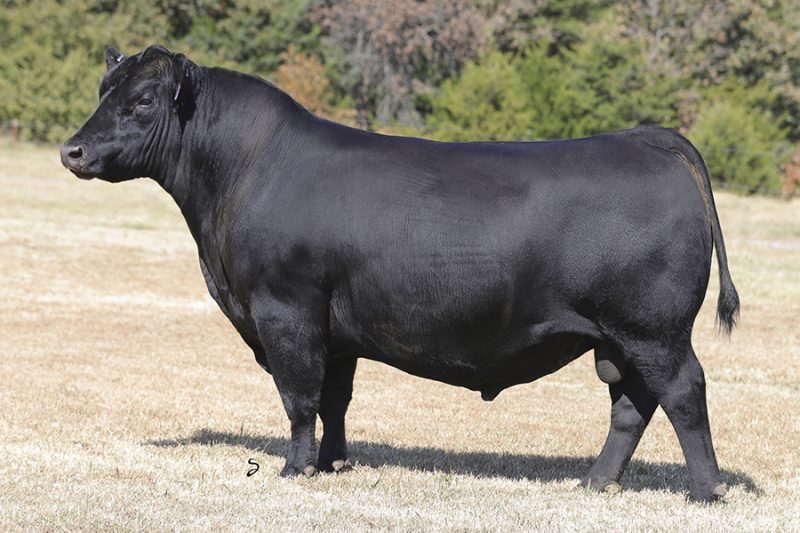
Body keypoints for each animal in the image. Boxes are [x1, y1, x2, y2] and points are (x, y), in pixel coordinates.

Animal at [61, 45, 739, 502]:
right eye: (101, 93)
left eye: (142, 101)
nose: (72, 150)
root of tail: (646, 138)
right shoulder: (334, 329)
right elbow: (334, 399)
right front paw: (332, 463)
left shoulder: (286, 310)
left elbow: (299, 396)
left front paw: (293, 469)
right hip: (618, 337)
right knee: (632, 405)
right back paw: (597, 484)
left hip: (653, 330)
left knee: (683, 391)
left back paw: (706, 491)